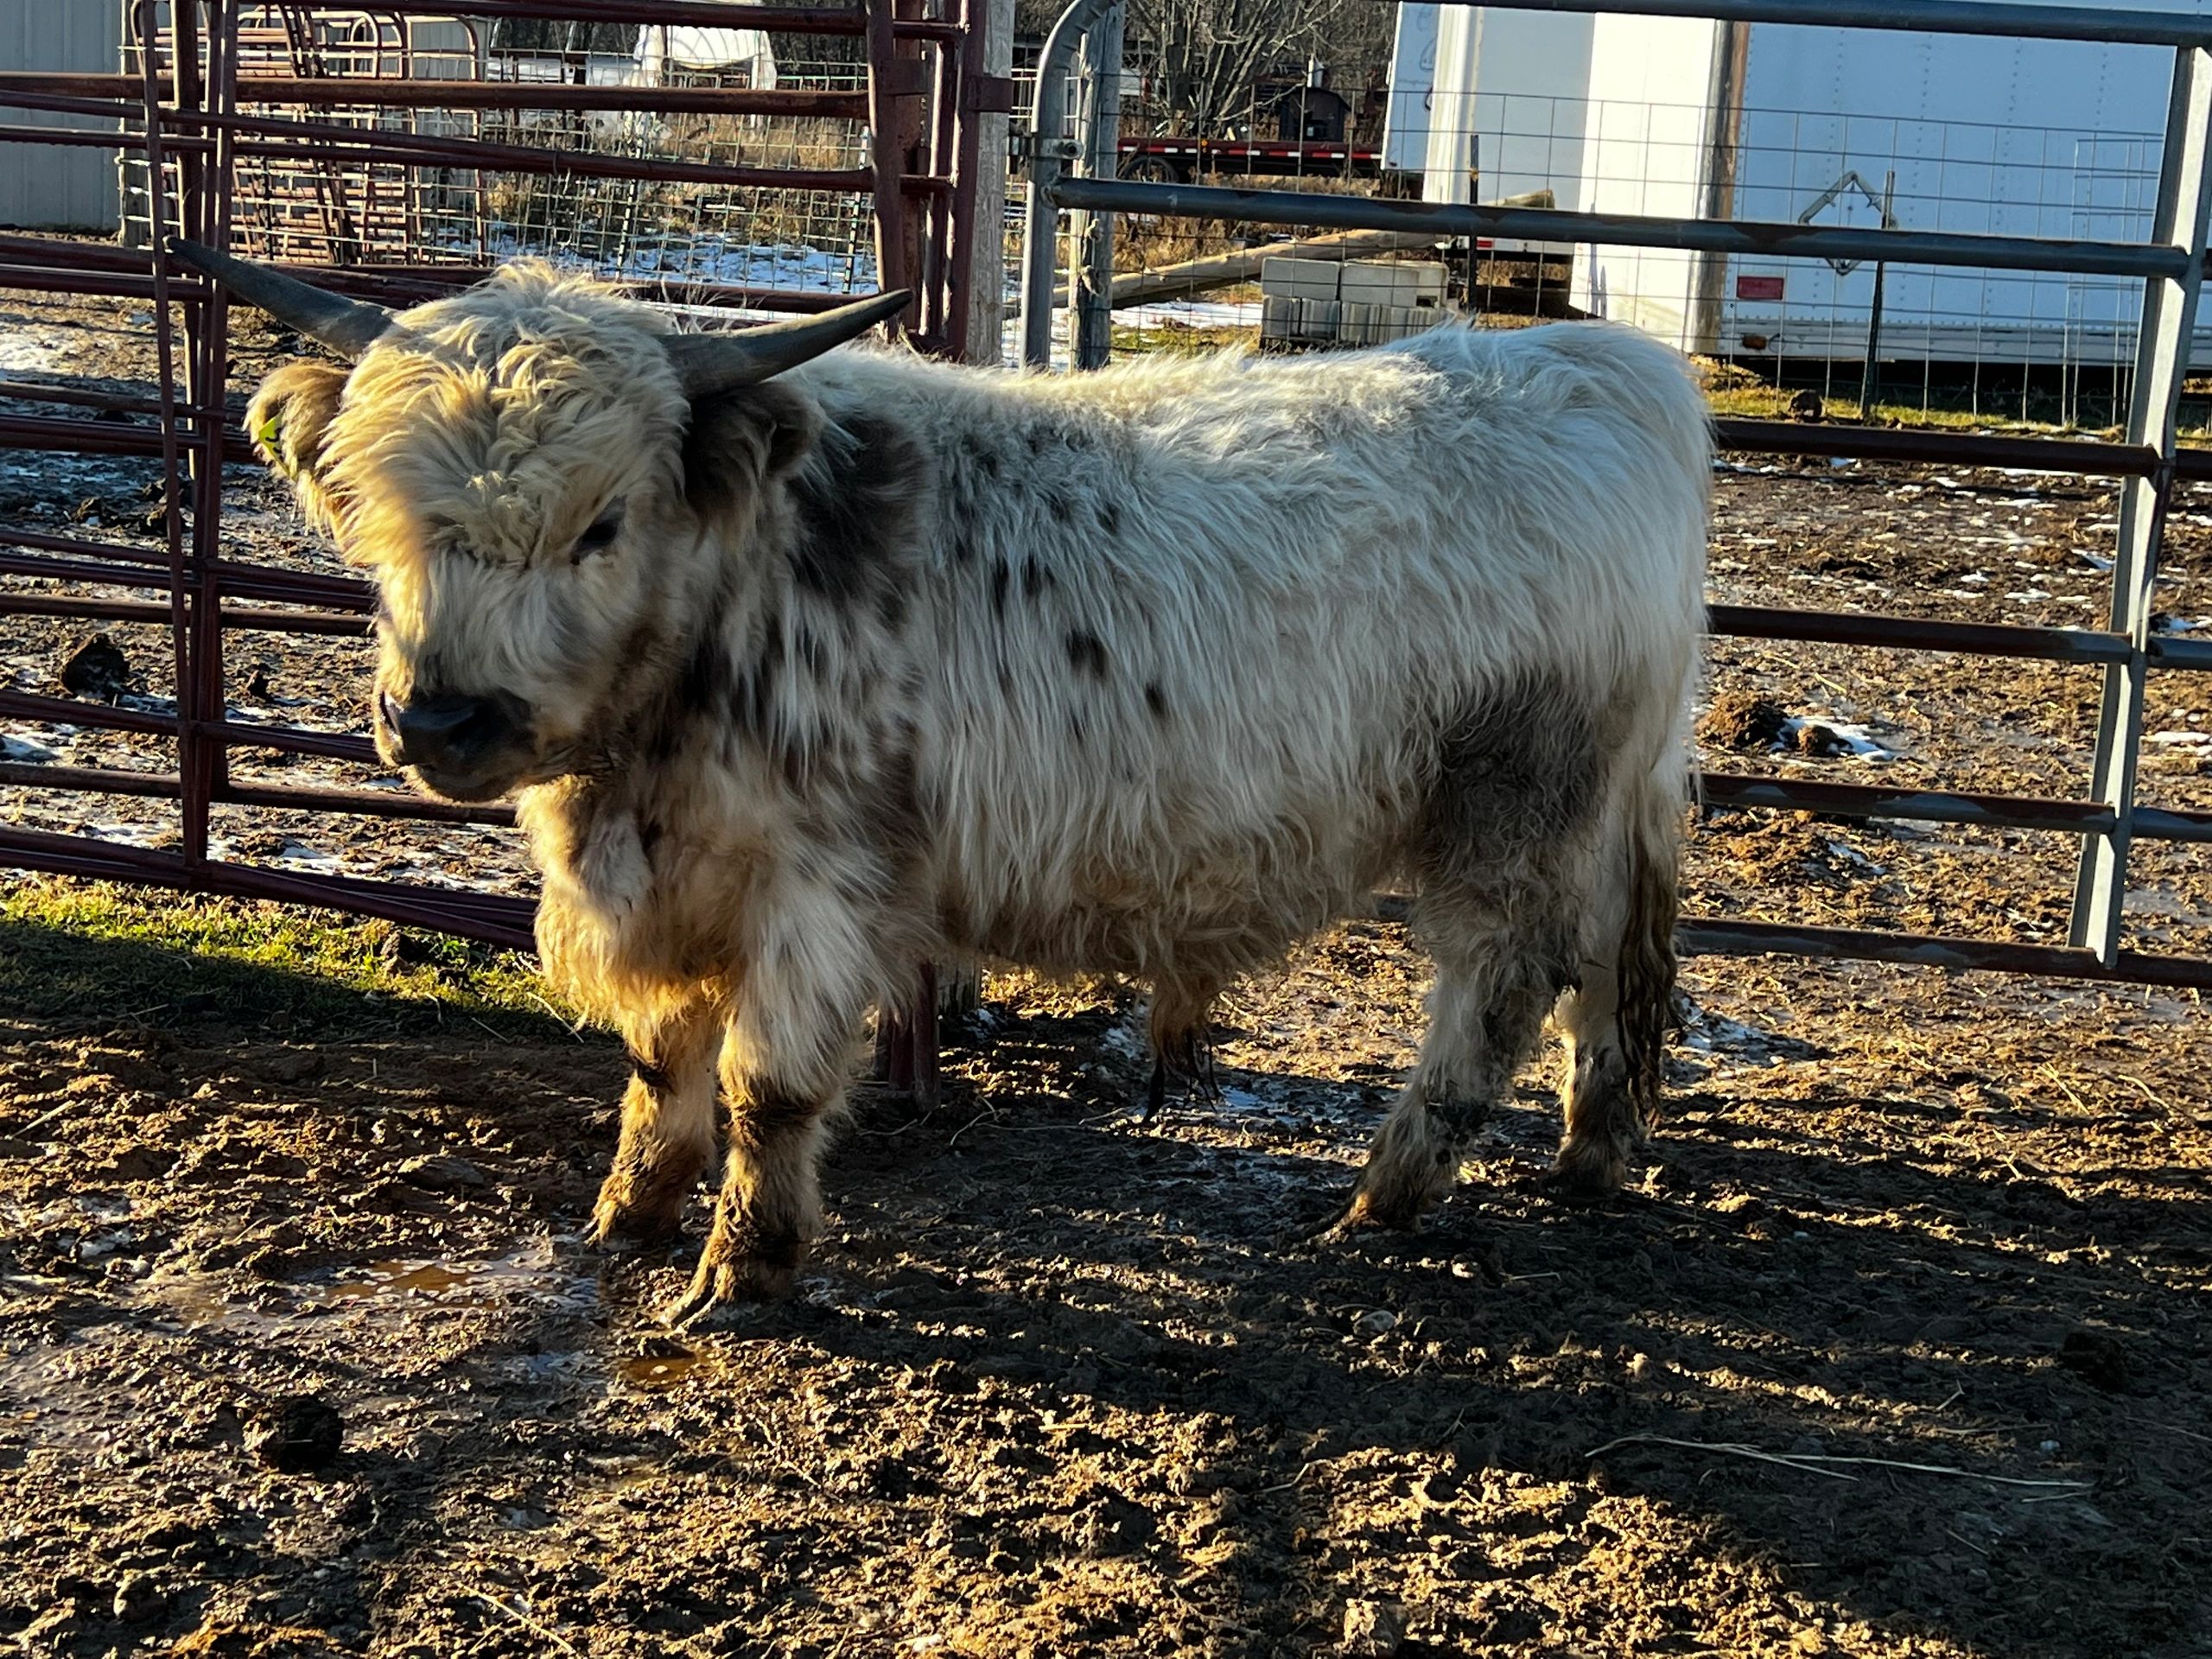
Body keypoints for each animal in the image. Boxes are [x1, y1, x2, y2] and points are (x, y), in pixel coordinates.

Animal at [170, 238, 1709, 1325]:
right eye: (380, 507)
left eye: (601, 522)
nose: (438, 717)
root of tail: (1614, 372)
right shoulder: (674, 885)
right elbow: (660, 1063)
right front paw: (626, 1213)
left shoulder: (823, 884)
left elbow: (766, 1086)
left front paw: (745, 1269)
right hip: (1598, 812)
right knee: (1603, 981)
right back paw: (1592, 1149)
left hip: (1515, 806)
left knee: (1503, 988)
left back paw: (1387, 1195)